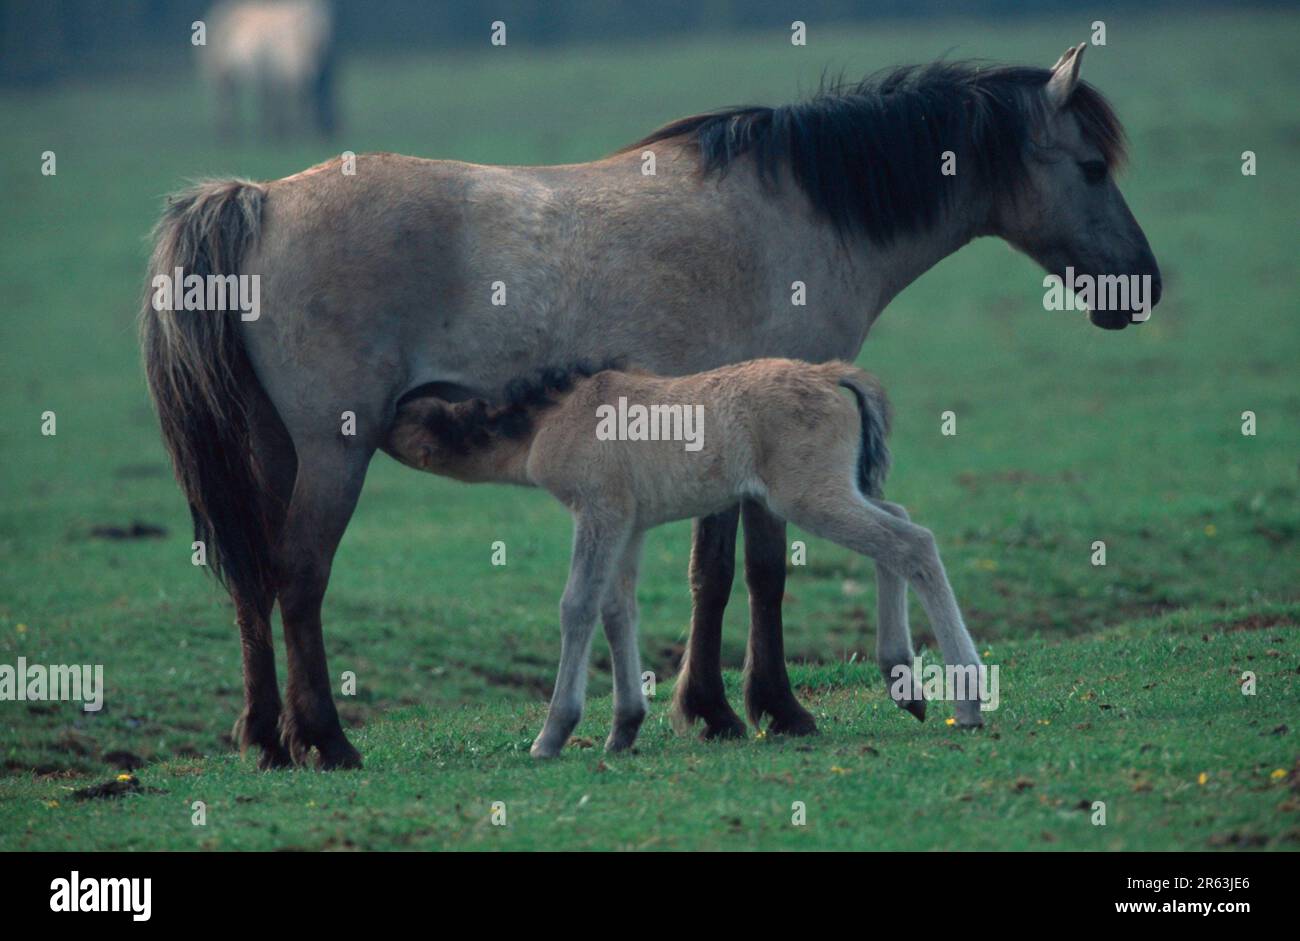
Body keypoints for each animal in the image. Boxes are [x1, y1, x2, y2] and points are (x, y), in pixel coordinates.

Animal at [383, 358, 961, 757]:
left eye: (401, 414)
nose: (368, 422)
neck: (554, 417)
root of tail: (829, 374)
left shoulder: (600, 512)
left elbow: (578, 605)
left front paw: (552, 734)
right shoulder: (630, 526)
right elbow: (618, 611)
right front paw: (624, 728)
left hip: (810, 497)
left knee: (911, 542)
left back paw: (966, 701)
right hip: (835, 490)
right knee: (897, 522)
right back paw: (904, 681)